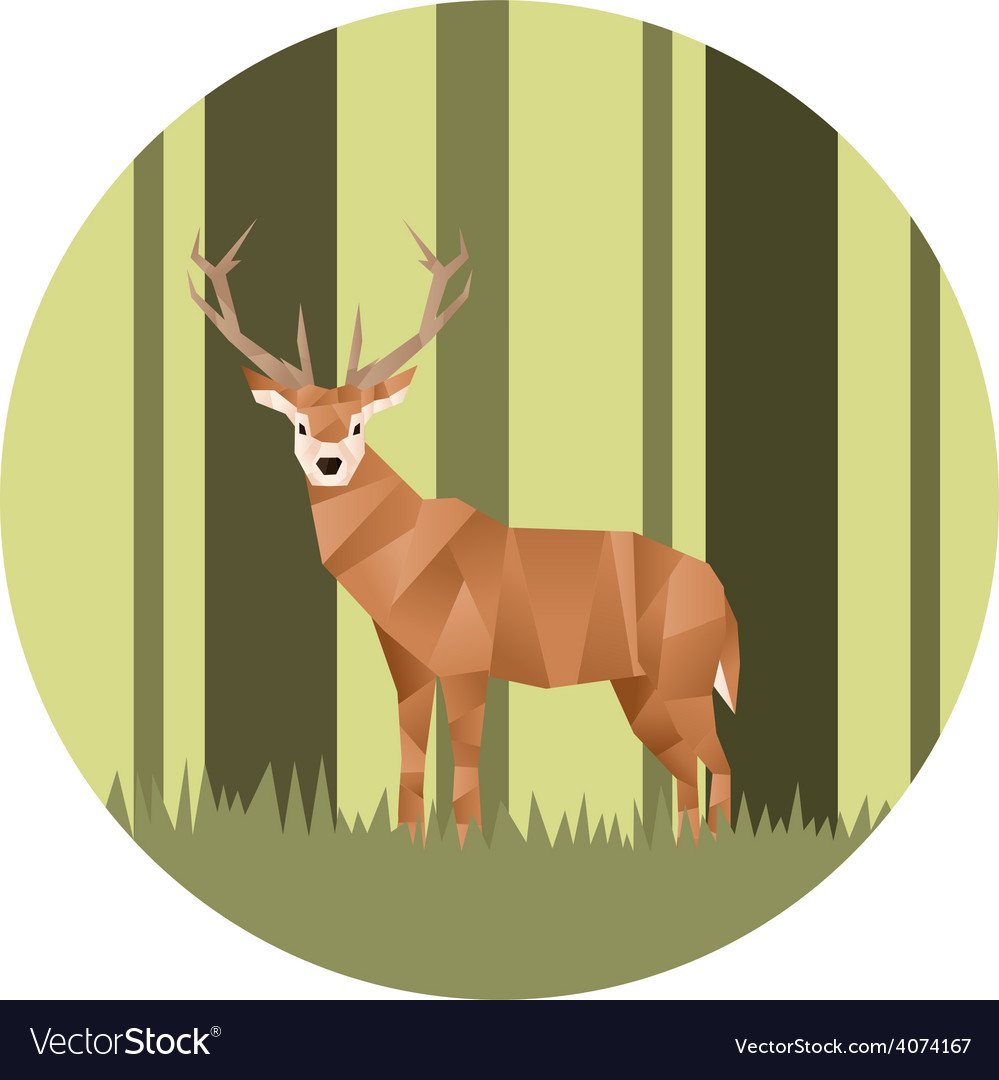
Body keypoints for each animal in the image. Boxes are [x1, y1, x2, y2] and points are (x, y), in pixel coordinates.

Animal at [190, 223, 740, 847]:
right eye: (301, 424)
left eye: (358, 424)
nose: (330, 464)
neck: (403, 563)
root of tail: (722, 596)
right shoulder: (406, 662)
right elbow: (411, 758)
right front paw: (407, 839)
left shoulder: (468, 657)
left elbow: (467, 764)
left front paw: (467, 842)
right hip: (642, 689)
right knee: (685, 766)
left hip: (685, 676)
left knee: (718, 760)